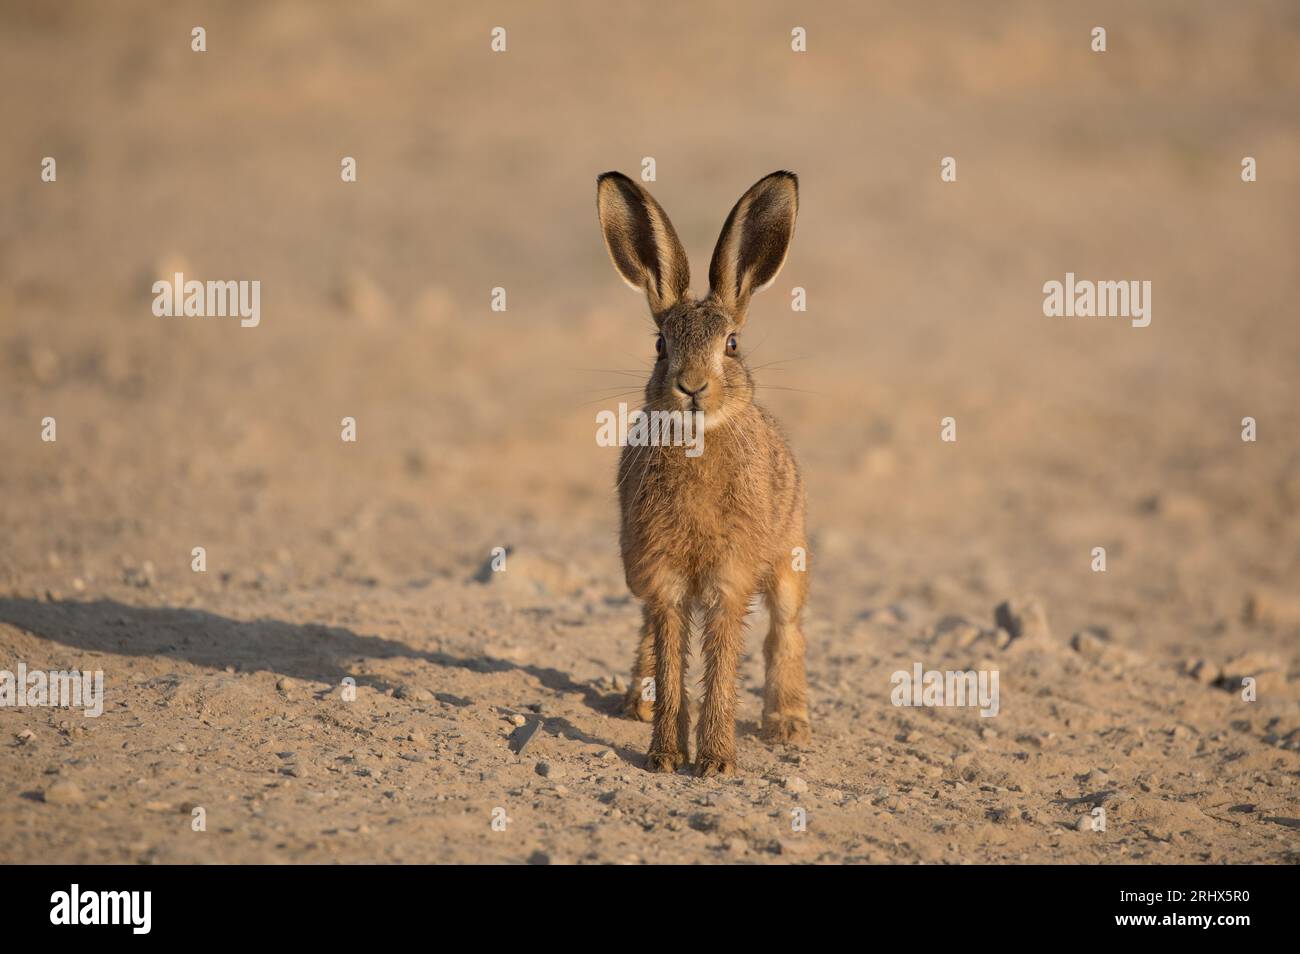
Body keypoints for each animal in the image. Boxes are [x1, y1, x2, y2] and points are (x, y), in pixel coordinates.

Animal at [595, 170, 811, 775]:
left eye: (731, 344)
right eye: (660, 345)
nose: (692, 386)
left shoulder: (729, 577)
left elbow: (722, 662)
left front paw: (714, 760)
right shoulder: (661, 573)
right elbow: (671, 657)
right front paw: (666, 754)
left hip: (789, 554)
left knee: (785, 628)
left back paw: (789, 723)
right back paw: (638, 702)